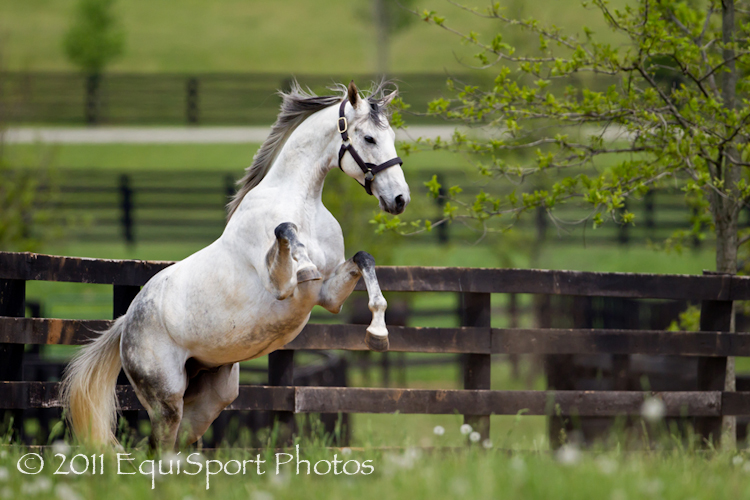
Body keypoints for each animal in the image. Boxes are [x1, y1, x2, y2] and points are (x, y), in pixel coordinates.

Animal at [61, 80, 411, 450]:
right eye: (369, 138)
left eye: (391, 137)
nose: (400, 199)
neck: (301, 202)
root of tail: (126, 323)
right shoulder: (280, 286)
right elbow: (286, 231)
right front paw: (305, 267)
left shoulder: (329, 296)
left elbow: (364, 259)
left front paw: (378, 333)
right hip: (165, 400)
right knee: (156, 448)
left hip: (209, 399)